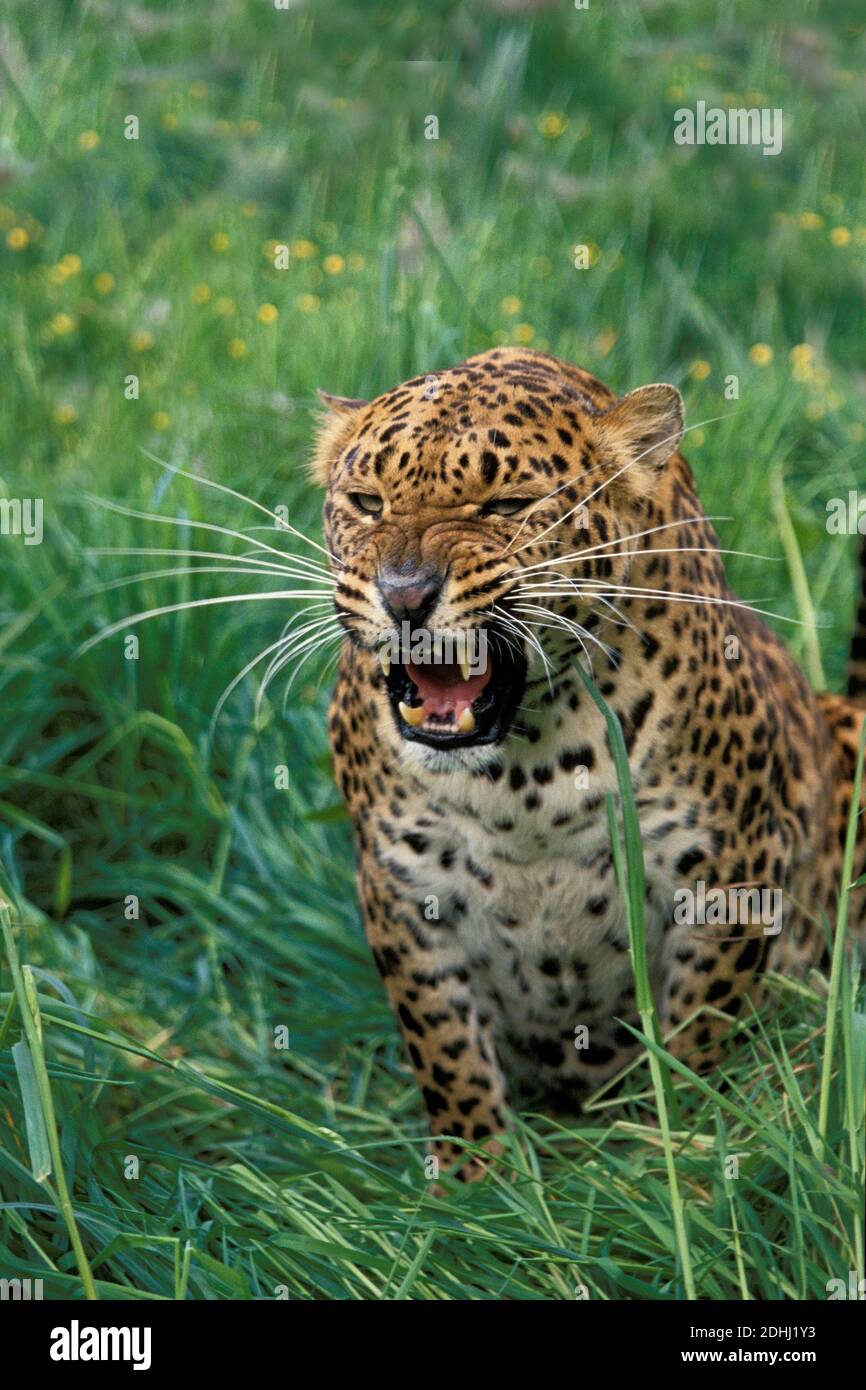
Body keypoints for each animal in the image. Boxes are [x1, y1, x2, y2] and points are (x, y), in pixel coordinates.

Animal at [311, 347, 866, 1178]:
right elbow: (444, 1044)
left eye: (507, 505)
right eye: (367, 501)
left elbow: (699, 1031)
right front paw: (477, 1175)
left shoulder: (731, 874)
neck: (523, 775)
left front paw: (679, 1146)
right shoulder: (403, 889)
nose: (404, 596)